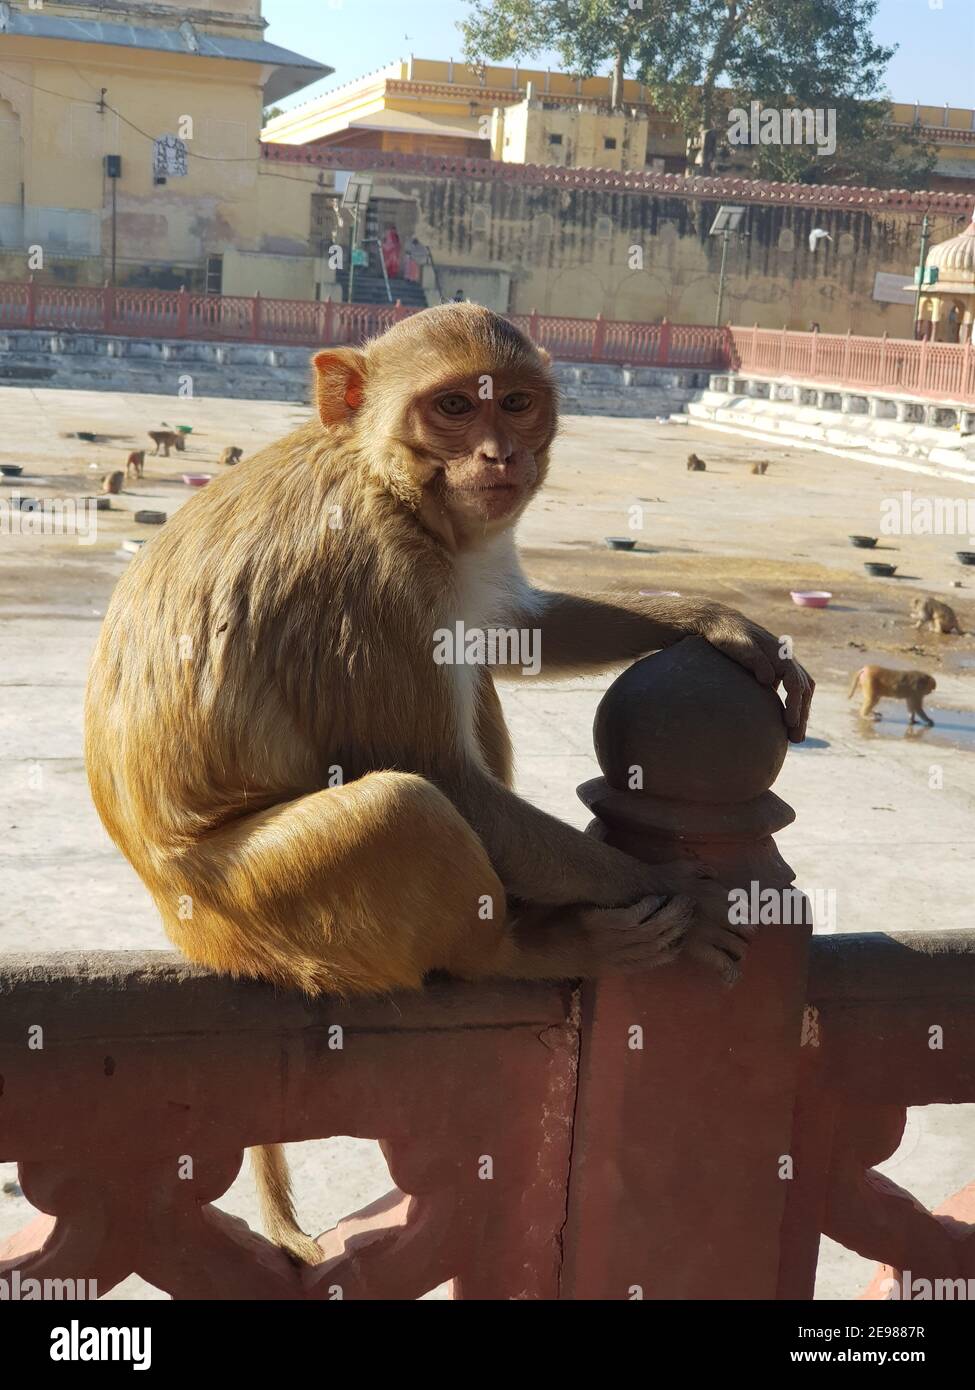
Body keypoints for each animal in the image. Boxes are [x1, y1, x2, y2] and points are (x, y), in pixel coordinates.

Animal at [85, 303, 814, 1265]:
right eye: (455, 408)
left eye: (514, 402)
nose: (500, 455)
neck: (386, 480)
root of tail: (182, 928)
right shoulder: (371, 576)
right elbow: (434, 776)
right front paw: (692, 904)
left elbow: (512, 628)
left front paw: (714, 623)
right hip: (254, 909)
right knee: (402, 805)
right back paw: (523, 948)